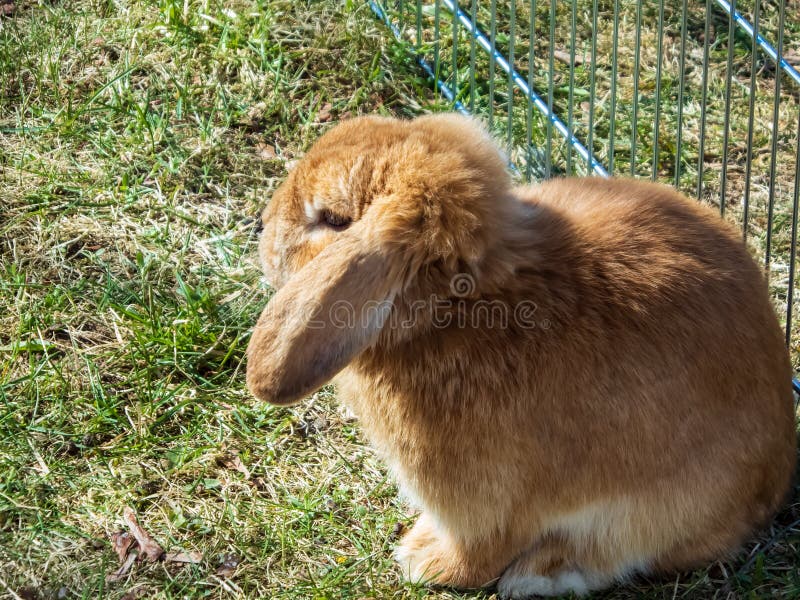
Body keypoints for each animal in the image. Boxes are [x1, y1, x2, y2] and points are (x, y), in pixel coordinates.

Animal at [245, 113, 796, 597]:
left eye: (333, 220)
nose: (262, 226)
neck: (455, 307)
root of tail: (775, 480)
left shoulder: (483, 504)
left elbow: (479, 556)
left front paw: (424, 563)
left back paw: (541, 574)